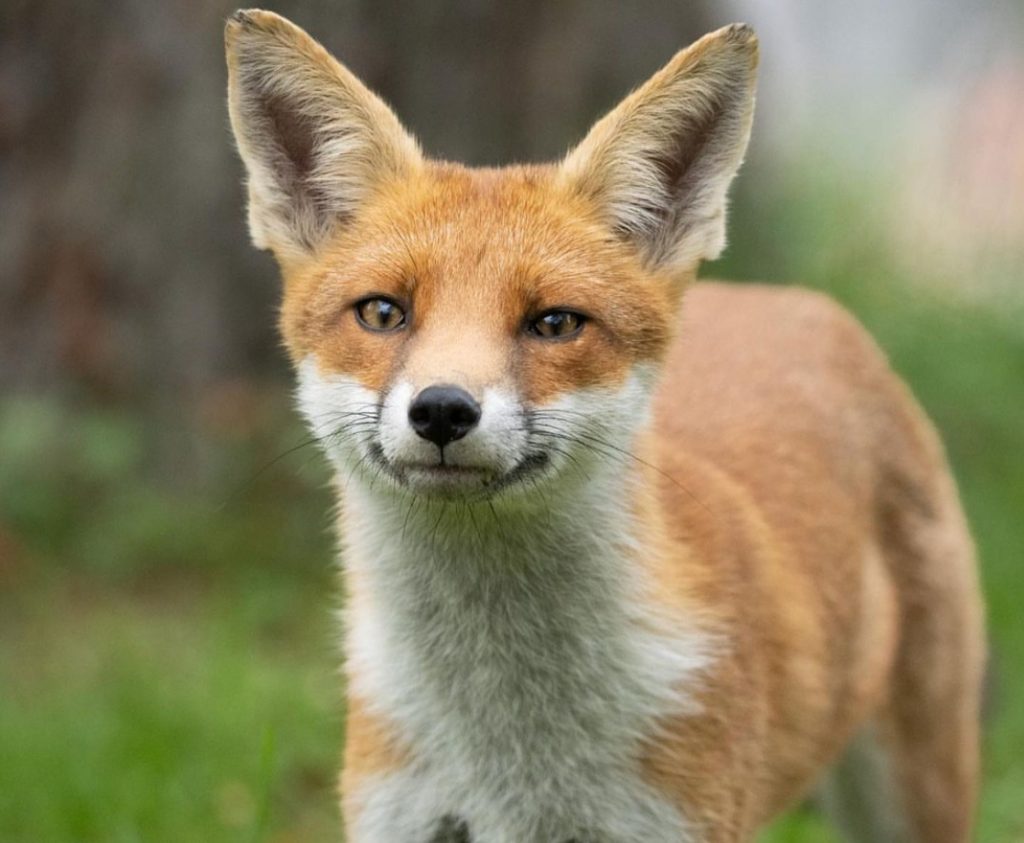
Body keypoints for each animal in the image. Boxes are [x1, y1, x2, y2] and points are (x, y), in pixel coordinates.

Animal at [225, 9, 985, 843]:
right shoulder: (397, 815)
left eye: (555, 322)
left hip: (918, 783)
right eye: (383, 312)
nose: (442, 409)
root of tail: (790, 298)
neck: (511, 756)